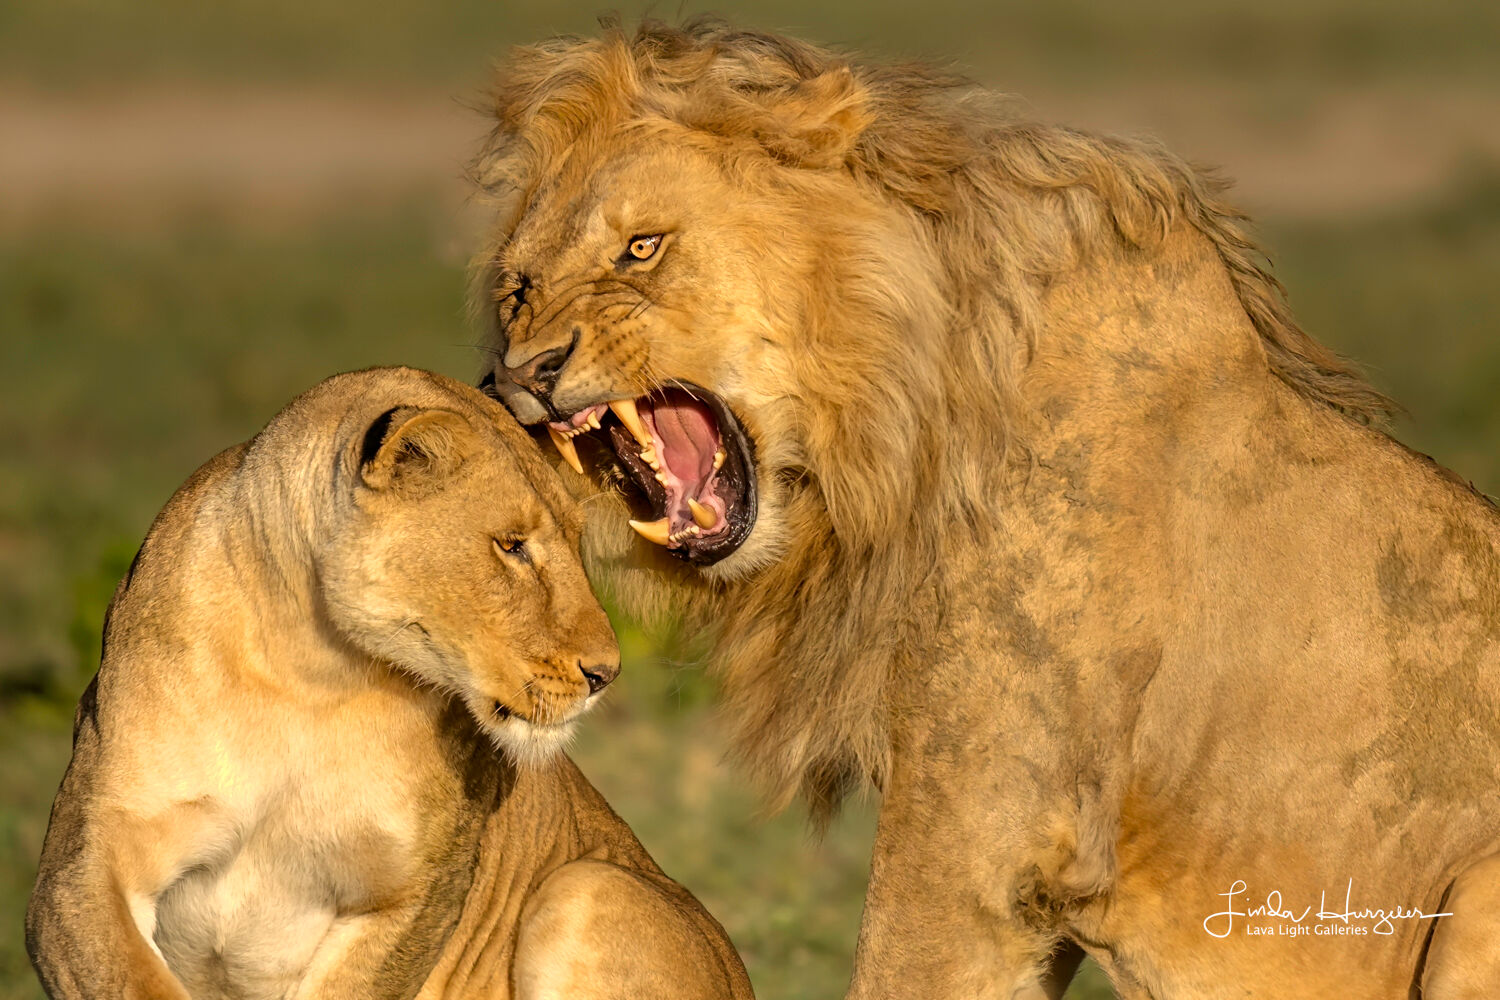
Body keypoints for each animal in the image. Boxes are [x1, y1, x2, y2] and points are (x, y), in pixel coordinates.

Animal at [25, 367, 753, 1000]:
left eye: (576, 542)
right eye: (512, 546)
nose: (606, 673)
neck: (311, 671)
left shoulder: (415, 890)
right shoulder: (86, 862)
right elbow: (130, 976)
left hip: (589, 887)